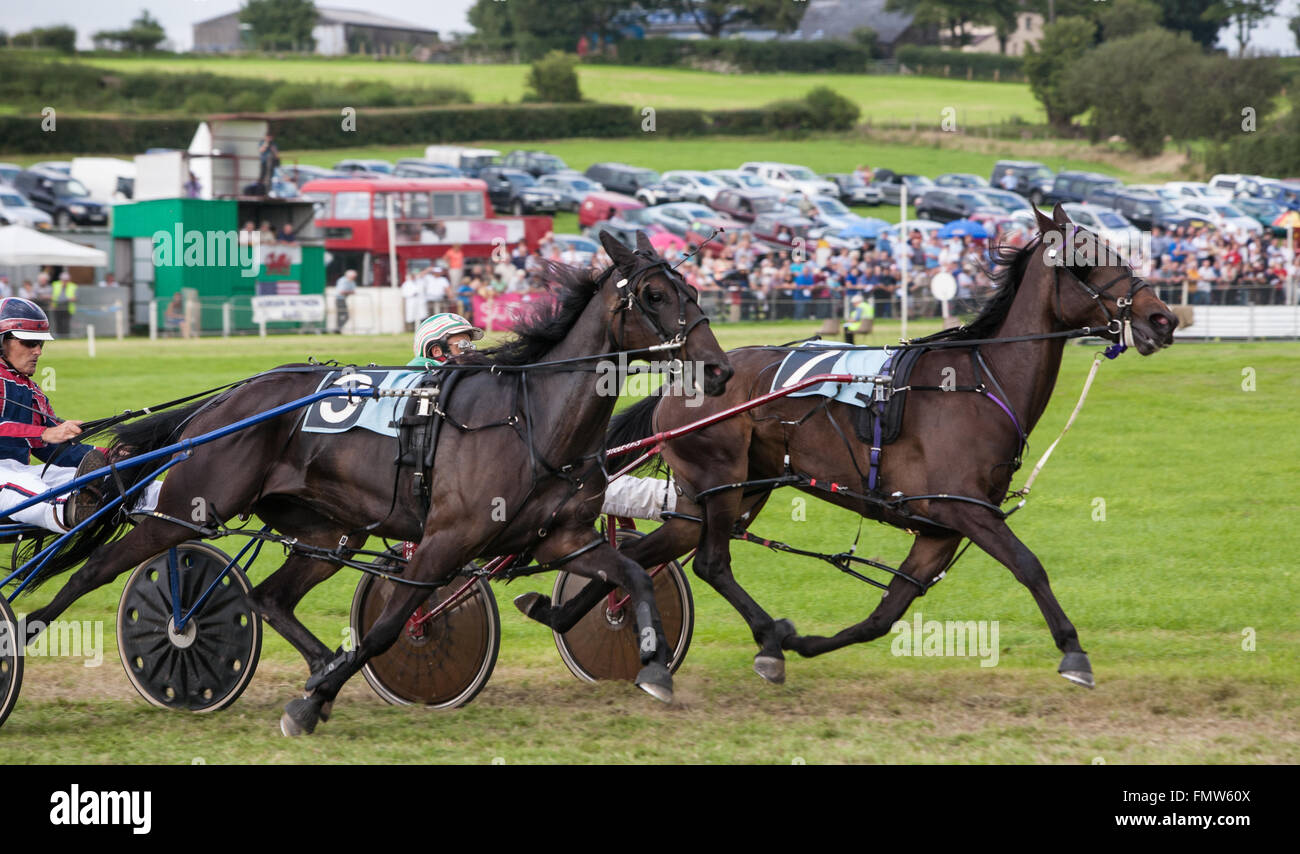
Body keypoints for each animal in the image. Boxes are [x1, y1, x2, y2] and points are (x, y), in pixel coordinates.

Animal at [21, 231, 732, 735]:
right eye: (655, 296)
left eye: (695, 290)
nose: (720, 369)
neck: (529, 414)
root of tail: (221, 403)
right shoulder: (447, 539)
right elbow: (390, 626)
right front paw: (308, 708)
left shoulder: (562, 537)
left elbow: (633, 574)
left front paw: (652, 665)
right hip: (194, 506)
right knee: (100, 567)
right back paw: (26, 628)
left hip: (327, 532)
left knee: (270, 597)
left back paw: (320, 668)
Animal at [516, 205, 1178, 688]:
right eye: (1087, 261)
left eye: (1117, 250)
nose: (1162, 318)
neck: (981, 380)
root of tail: (687, 377)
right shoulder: (966, 509)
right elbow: (1030, 566)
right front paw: (1074, 652)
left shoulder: (940, 529)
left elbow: (885, 614)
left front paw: (806, 641)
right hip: (721, 484)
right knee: (707, 562)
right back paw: (758, 637)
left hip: (729, 492)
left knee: (644, 552)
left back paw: (572, 613)